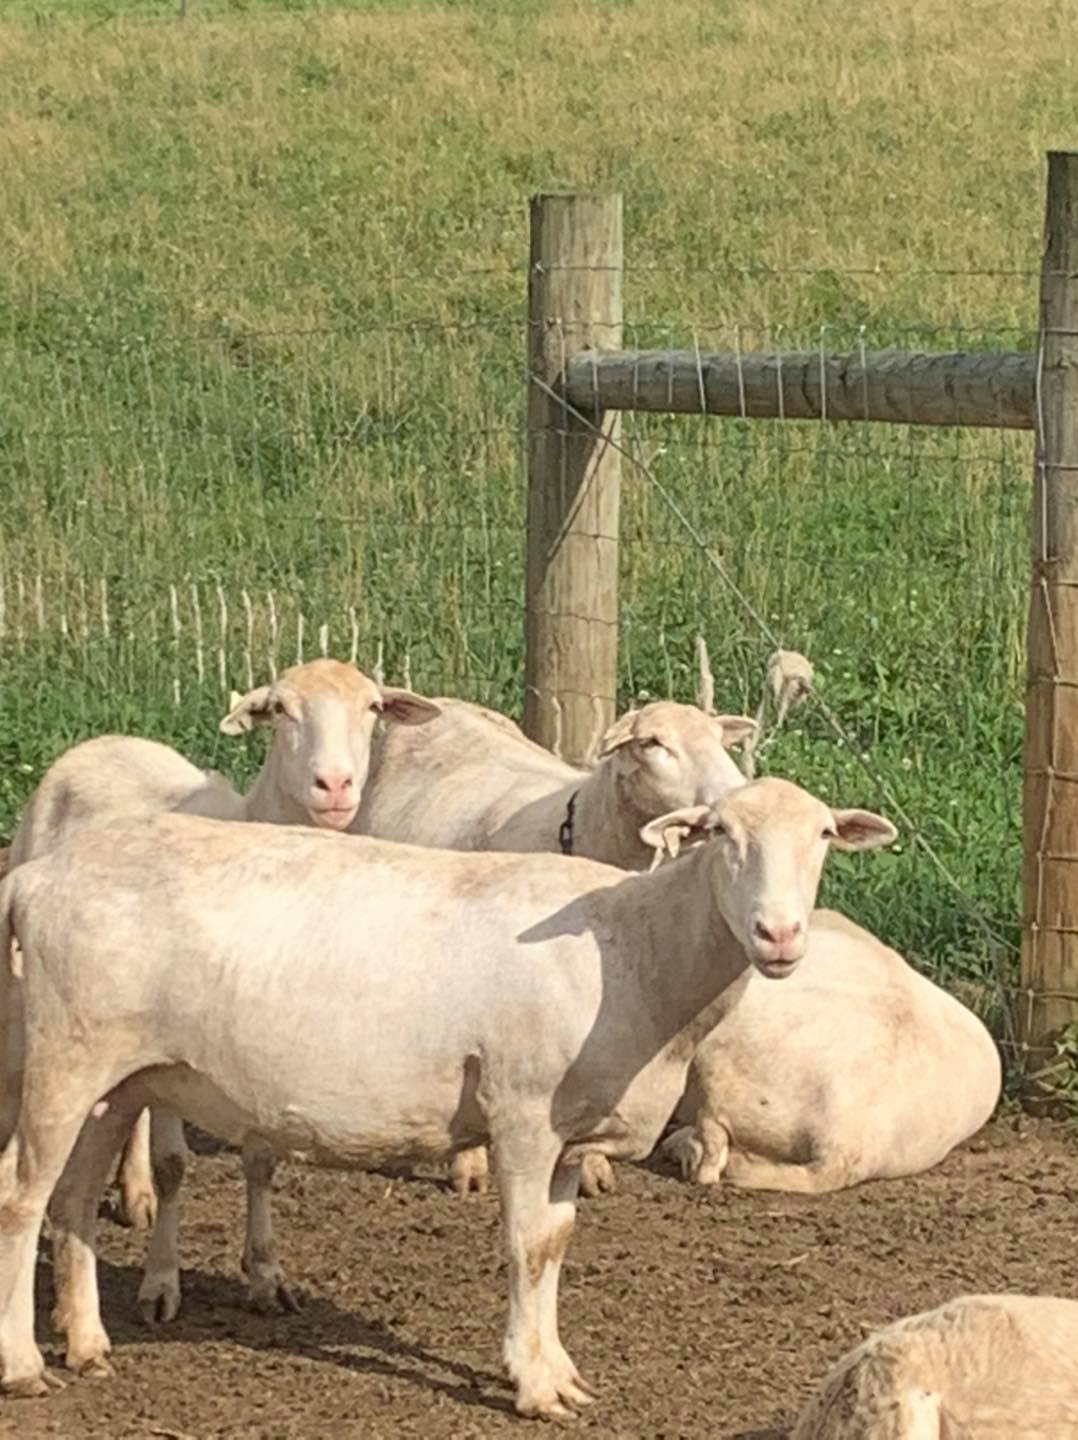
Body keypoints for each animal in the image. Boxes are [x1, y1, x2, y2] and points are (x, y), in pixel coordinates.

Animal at [0, 775, 896, 1416]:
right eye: (719, 835)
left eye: (823, 836)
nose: (779, 937)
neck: (636, 953)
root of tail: (37, 877)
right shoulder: (523, 1111)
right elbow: (526, 1247)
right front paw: (532, 1386)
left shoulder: (569, 1134)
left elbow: (555, 1246)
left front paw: (558, 1368)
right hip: (63, 1056)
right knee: (21, 1198)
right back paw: (23, 1364)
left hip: (118, 1078)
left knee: (72, 1199)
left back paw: (87, 1343)